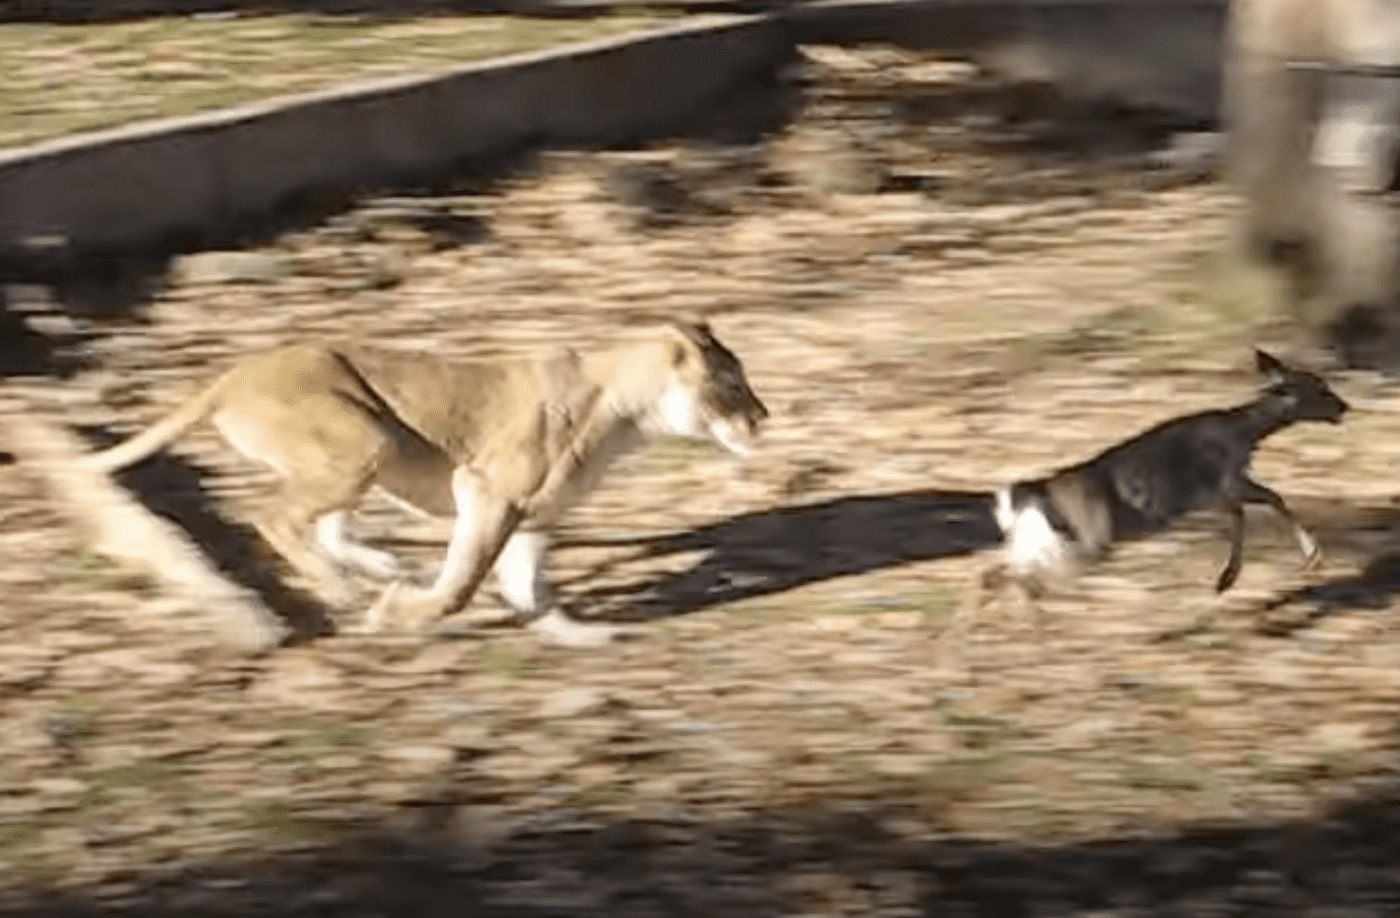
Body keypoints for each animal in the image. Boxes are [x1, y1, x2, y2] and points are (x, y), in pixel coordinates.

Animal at [86, 319, 769, 646]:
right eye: (731, 384)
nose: (764, 417)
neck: (630, 416)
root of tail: (231, 373)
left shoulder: (536, 516)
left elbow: (526, 586)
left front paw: (574, 634)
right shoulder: (487, 491)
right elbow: (463, 586)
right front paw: (398, 615)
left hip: (364, 452)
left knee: (325, 527)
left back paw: (383, 569)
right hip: (367, 439)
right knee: (272, 516)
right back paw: (344, 587)